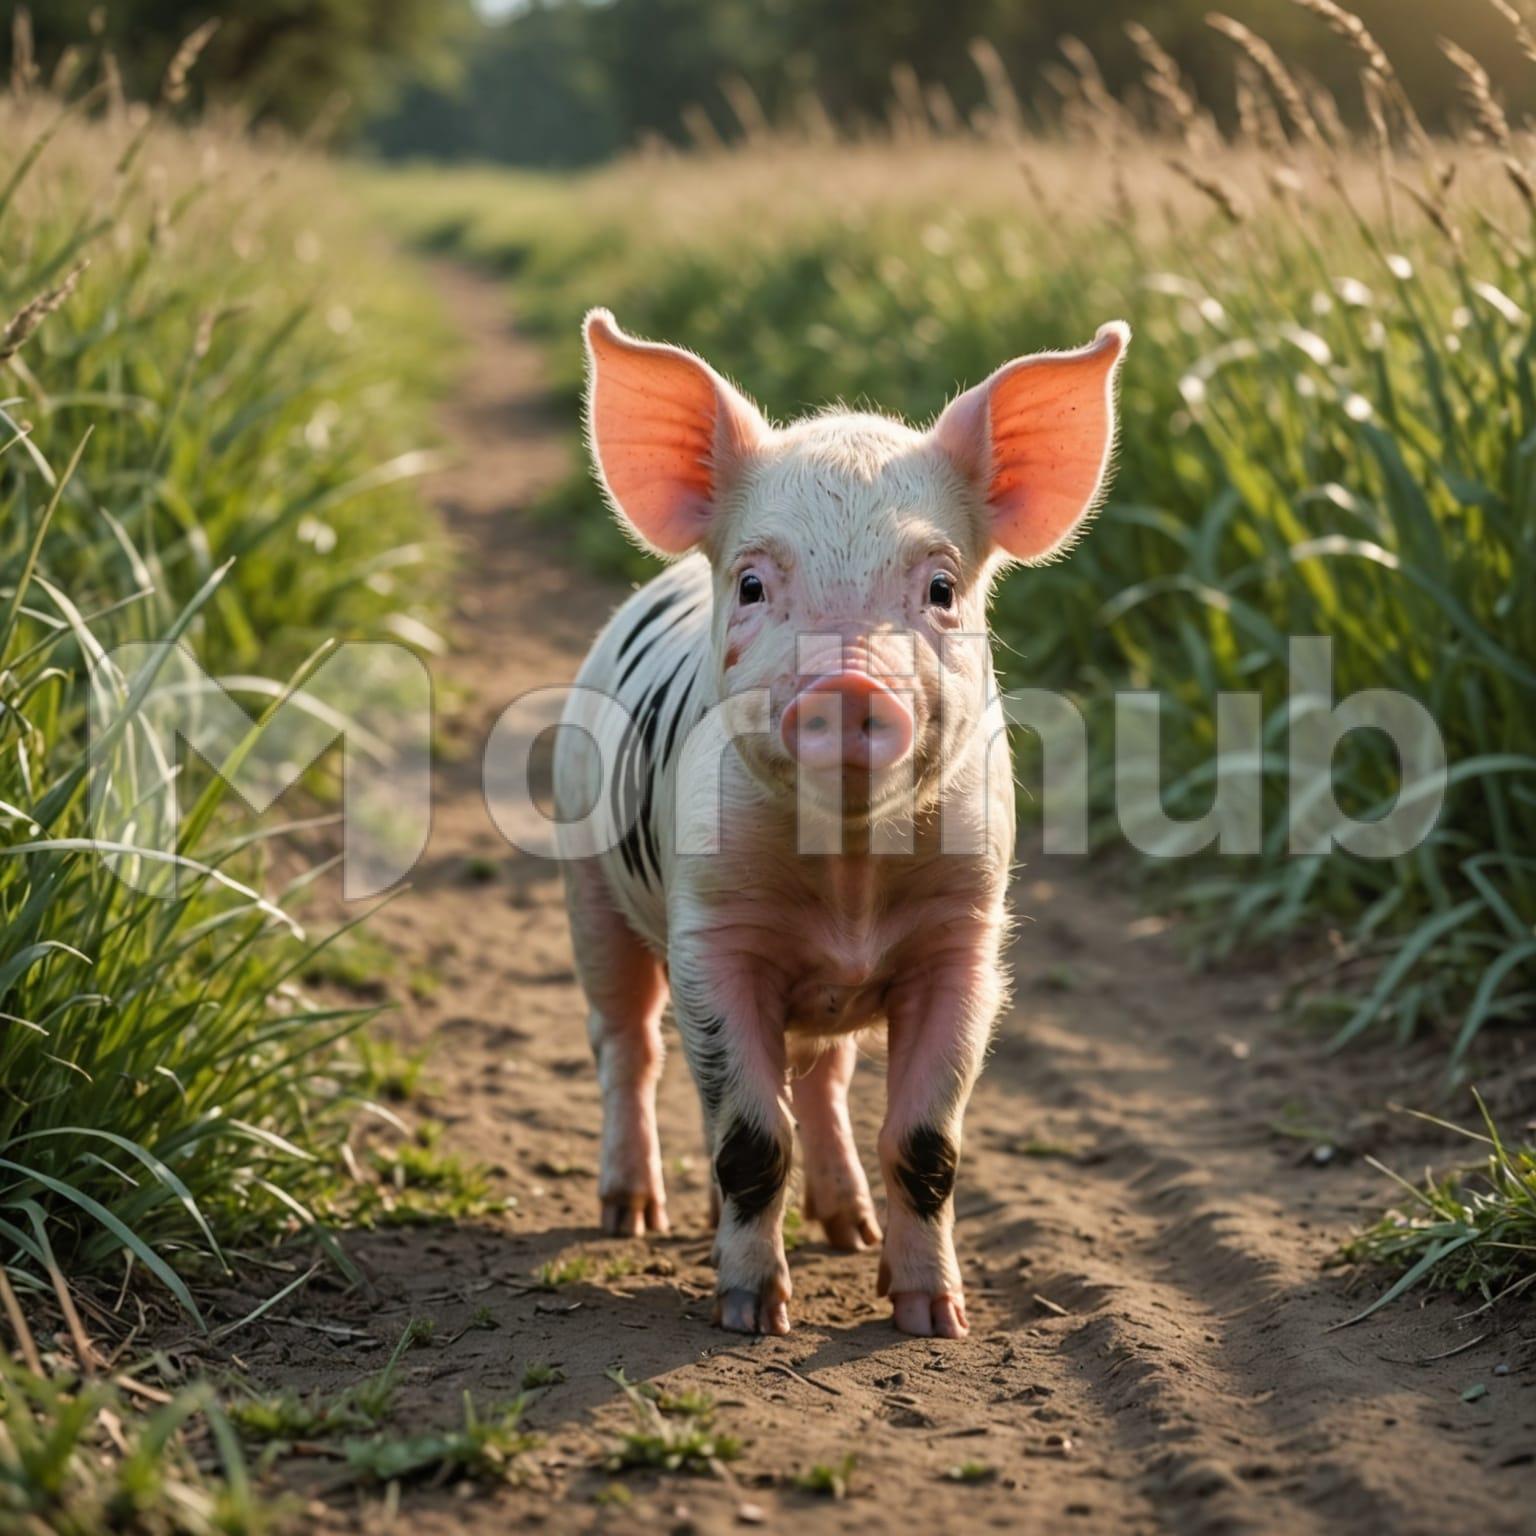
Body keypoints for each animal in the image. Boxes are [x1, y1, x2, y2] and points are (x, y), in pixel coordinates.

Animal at [553, 310, 1128, 1337]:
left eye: (941, 587)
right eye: (751, 585)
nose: (849, 684)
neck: (848, 882)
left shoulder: (966, 942)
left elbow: (926, 1141)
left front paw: (934, 1318)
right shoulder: (713, 935)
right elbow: (749, 1137)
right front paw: (751, 1316)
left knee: (820, 1080)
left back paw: (848, 1228)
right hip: (585, 881)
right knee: (628, 1045)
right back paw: (631, 1214)